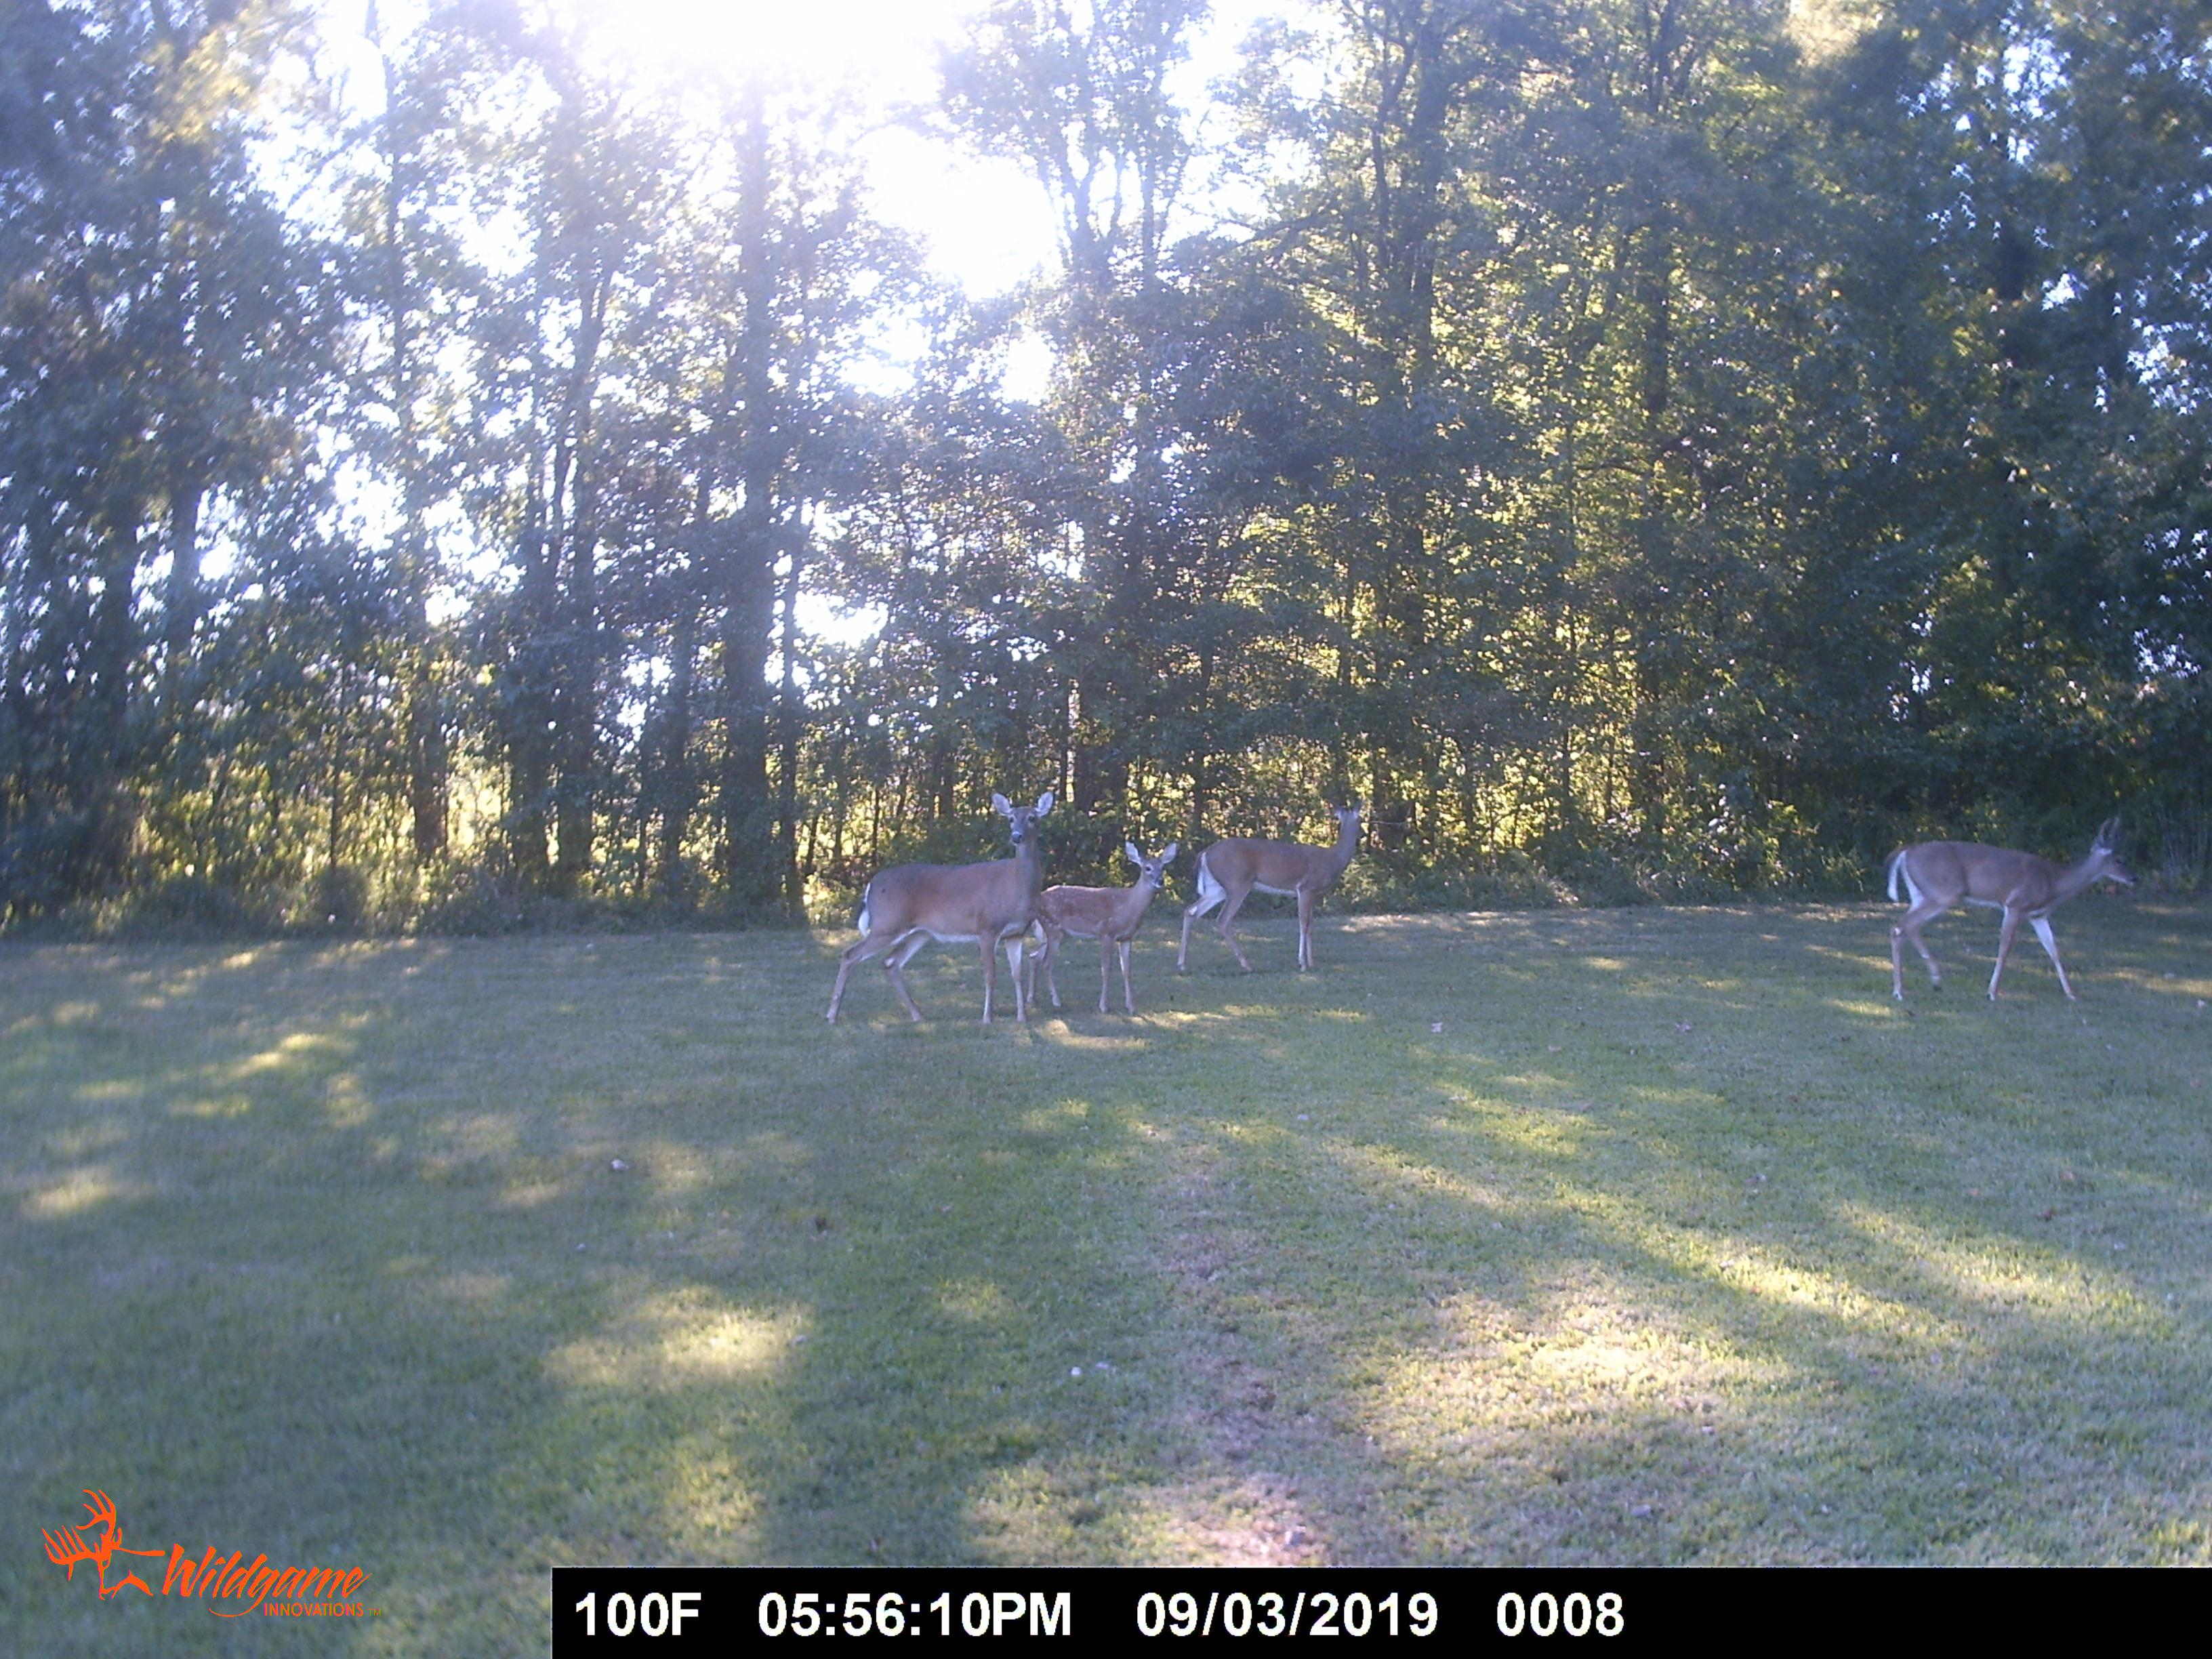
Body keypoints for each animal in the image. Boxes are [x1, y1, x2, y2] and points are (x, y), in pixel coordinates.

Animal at [826, 791, 1053, 1026]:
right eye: (1010, 819)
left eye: (1032, 818)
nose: (1016, 836)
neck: (1017, 888)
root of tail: (871, 885)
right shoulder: (987, 928)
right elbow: (990, 975)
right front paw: (987, 1018)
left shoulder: (1016, 933)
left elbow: (1017, 974)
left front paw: (1022, 1017)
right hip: (887, 924)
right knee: (850, 954)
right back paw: (832, 1015)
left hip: (919, 932)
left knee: (891, 963)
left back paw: (917, 1015)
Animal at [1024, 841, 1179, 1015]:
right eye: (1147, 868)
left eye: (1163, 867)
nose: (1160, 881)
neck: (1128, 907)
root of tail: (1039, 900)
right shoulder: (1106, 933)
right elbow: (1106, 969)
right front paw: (1104, 1006)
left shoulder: (1127, 937)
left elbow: (1127, 970)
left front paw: (1131, 1006)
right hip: (1053, 929)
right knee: (1047, 963)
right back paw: (1057, 1001)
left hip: (1052, 933)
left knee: (1034, 957)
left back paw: (1031, 998)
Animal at [1178, 802, 1362, 974]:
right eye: (1360, 819)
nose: (1363, 834)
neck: (1333, 859)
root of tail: (1205, 853)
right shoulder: (1306, 888)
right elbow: (1303, 923)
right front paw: (1302, 964)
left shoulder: (1314, 894)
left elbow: (1311, 925)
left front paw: (1311, 963)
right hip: (1237, 883)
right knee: (1222, 920)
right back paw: (1247, 965)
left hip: (1217, 888)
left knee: (1191, 911)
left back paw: (1182, 964)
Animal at [1887, 817, 2132, 1002]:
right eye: (2119, 859)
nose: (2134, 878)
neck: (2053, 883)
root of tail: (1907, 851)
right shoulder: (2015, 904)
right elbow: (2005, 948)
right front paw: (1992, 993)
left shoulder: (2038, 916)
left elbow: (2054, 951)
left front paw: (2071, 994)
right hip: (1944, 893)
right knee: (1902, 926)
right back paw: (1906, 989)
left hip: (1921, 894)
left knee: (1907, 928)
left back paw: (1925, 983)